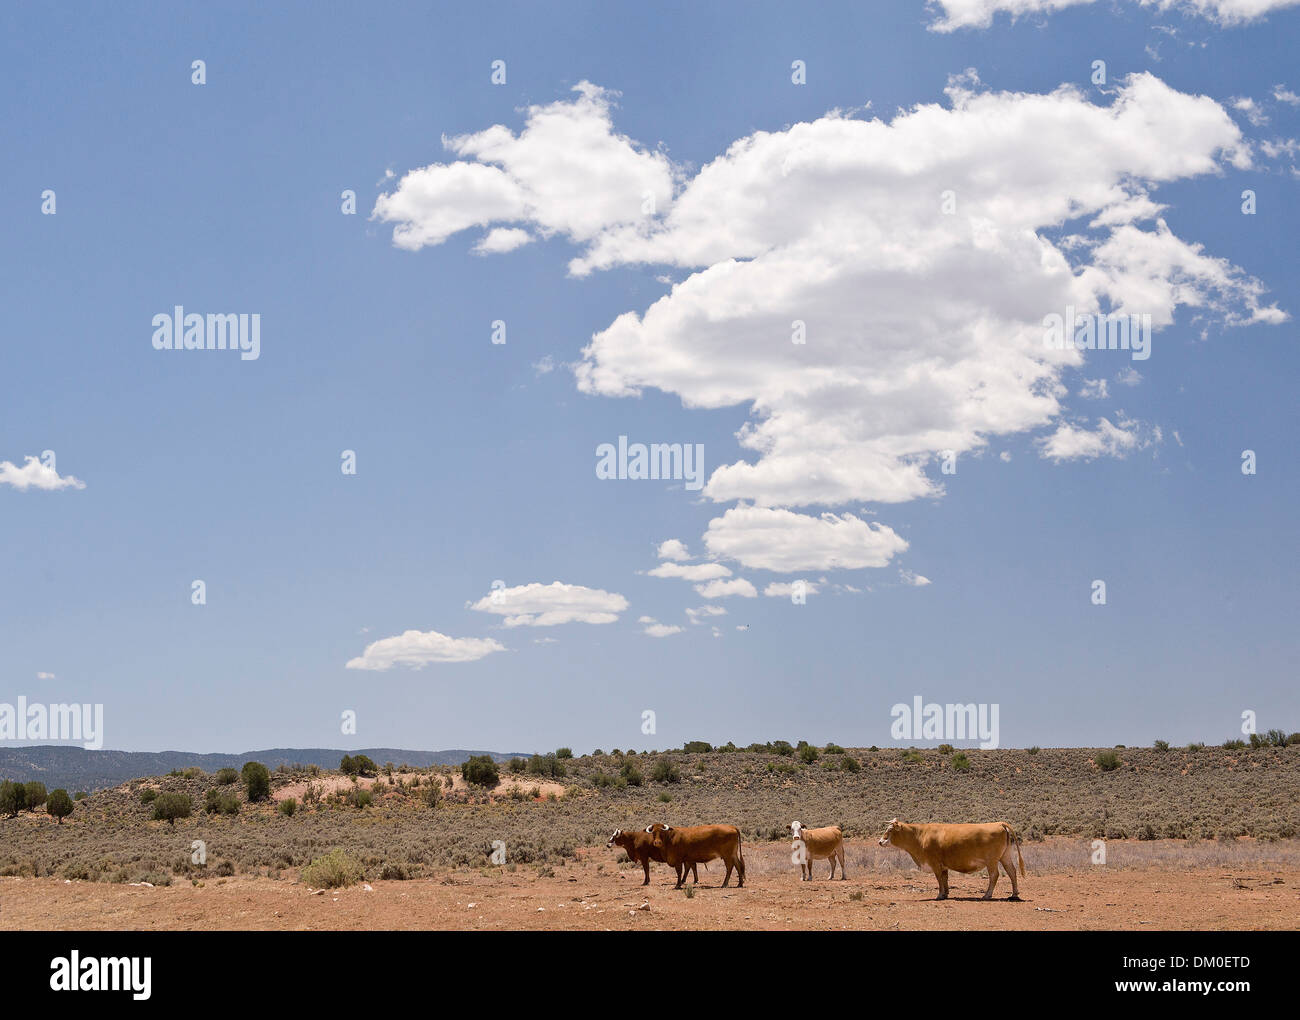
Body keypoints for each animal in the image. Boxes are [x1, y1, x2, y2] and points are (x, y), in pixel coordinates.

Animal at [878, 818, 1024, 901]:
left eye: (890, 830)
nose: (880, 841)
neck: (920, 835)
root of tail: (999, 823)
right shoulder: (943, 865)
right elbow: (945, 878)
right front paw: (946, 894)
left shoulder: (935, 863)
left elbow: (939, 879)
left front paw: (940, 895)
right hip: (1005, 856)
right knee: (1012, 872)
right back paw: (1014, 895)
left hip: (991, 861)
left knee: (994, 875)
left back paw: (987, 895)